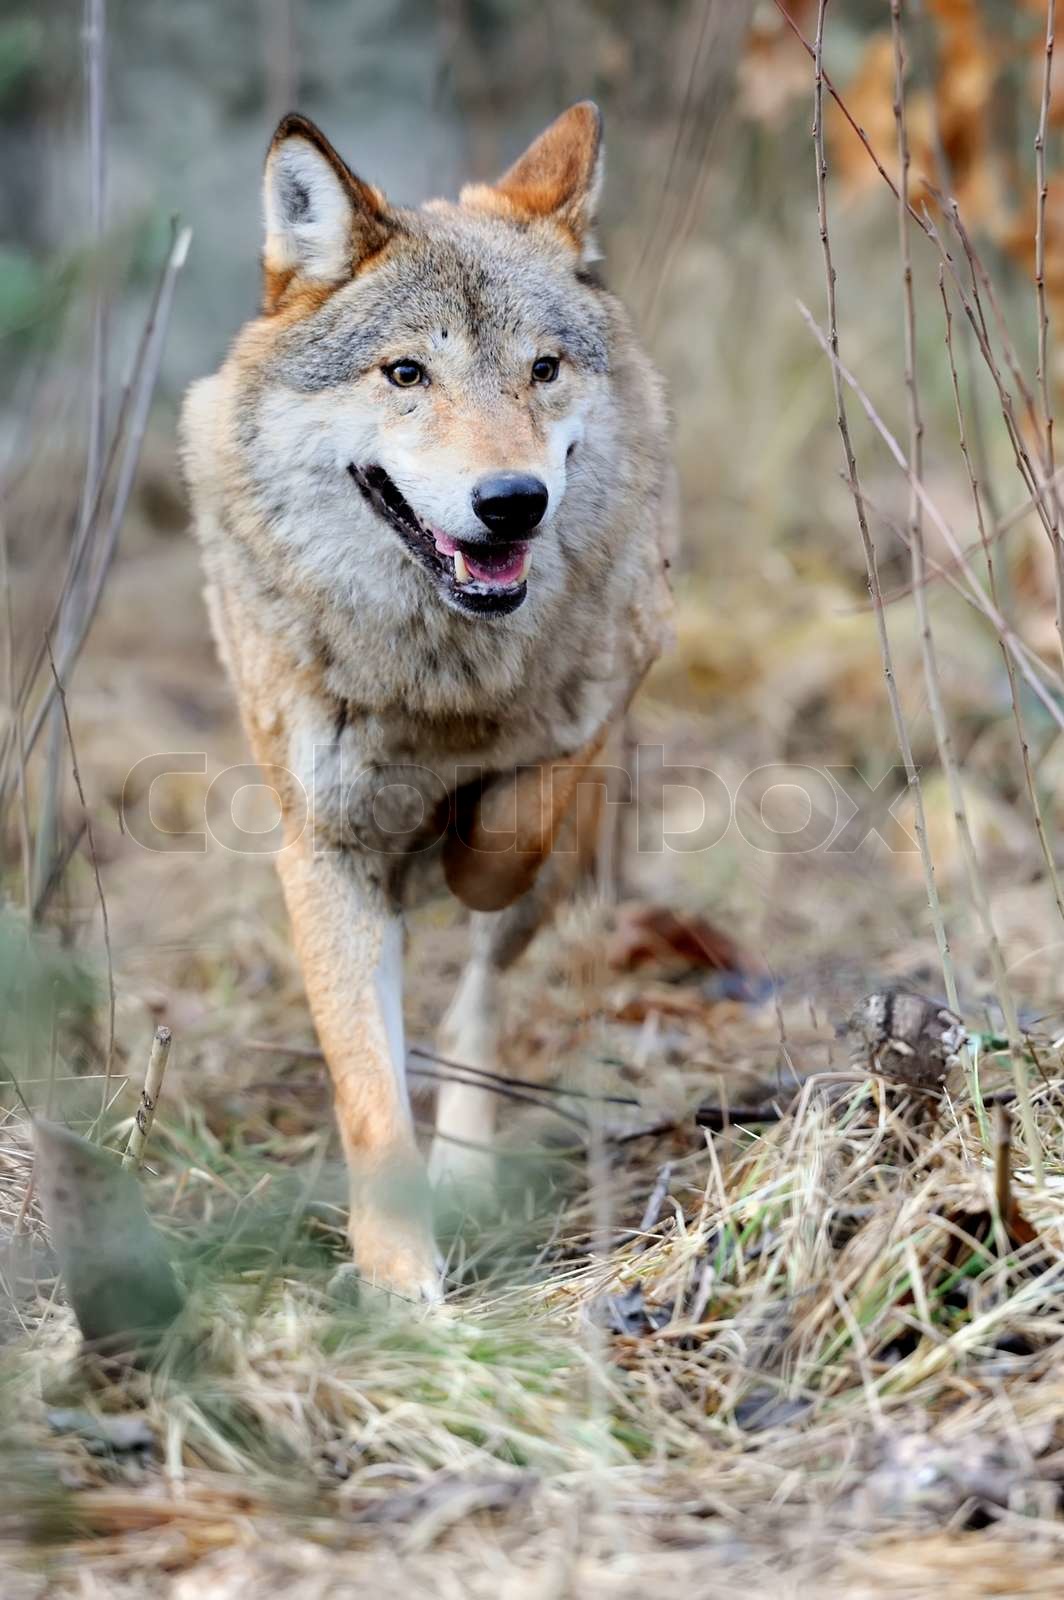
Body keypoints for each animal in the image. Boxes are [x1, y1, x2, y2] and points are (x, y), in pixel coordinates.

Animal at [181, 101, 674, 1302]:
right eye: (405, 373)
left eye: (543, 369)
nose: (512, 502)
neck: (435, 678)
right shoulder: (321, 853)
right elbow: (367, 1091)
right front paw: (401, 1287)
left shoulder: (605, 696)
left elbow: (512, 817)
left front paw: (465, 840)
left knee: (485, 993)